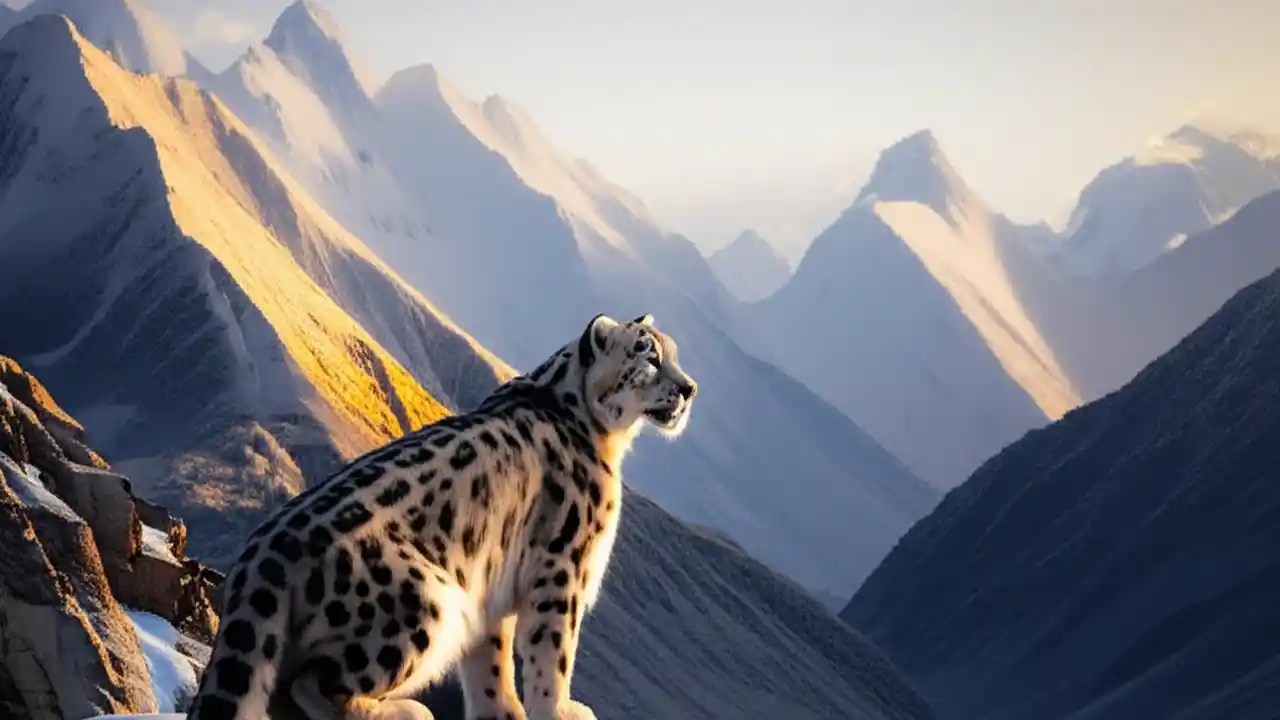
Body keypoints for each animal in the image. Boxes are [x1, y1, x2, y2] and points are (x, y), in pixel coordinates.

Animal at [187, 313, 697, 720]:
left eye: (673, 353)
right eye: (649, 356)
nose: (689, 388)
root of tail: (264, 553)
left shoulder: (492, 587)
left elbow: (491, 662)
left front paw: (503, 713)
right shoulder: (563, 569)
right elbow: (553, 653)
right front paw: (560, 710)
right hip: (424, 605)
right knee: (309, 684)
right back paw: (405, 712)